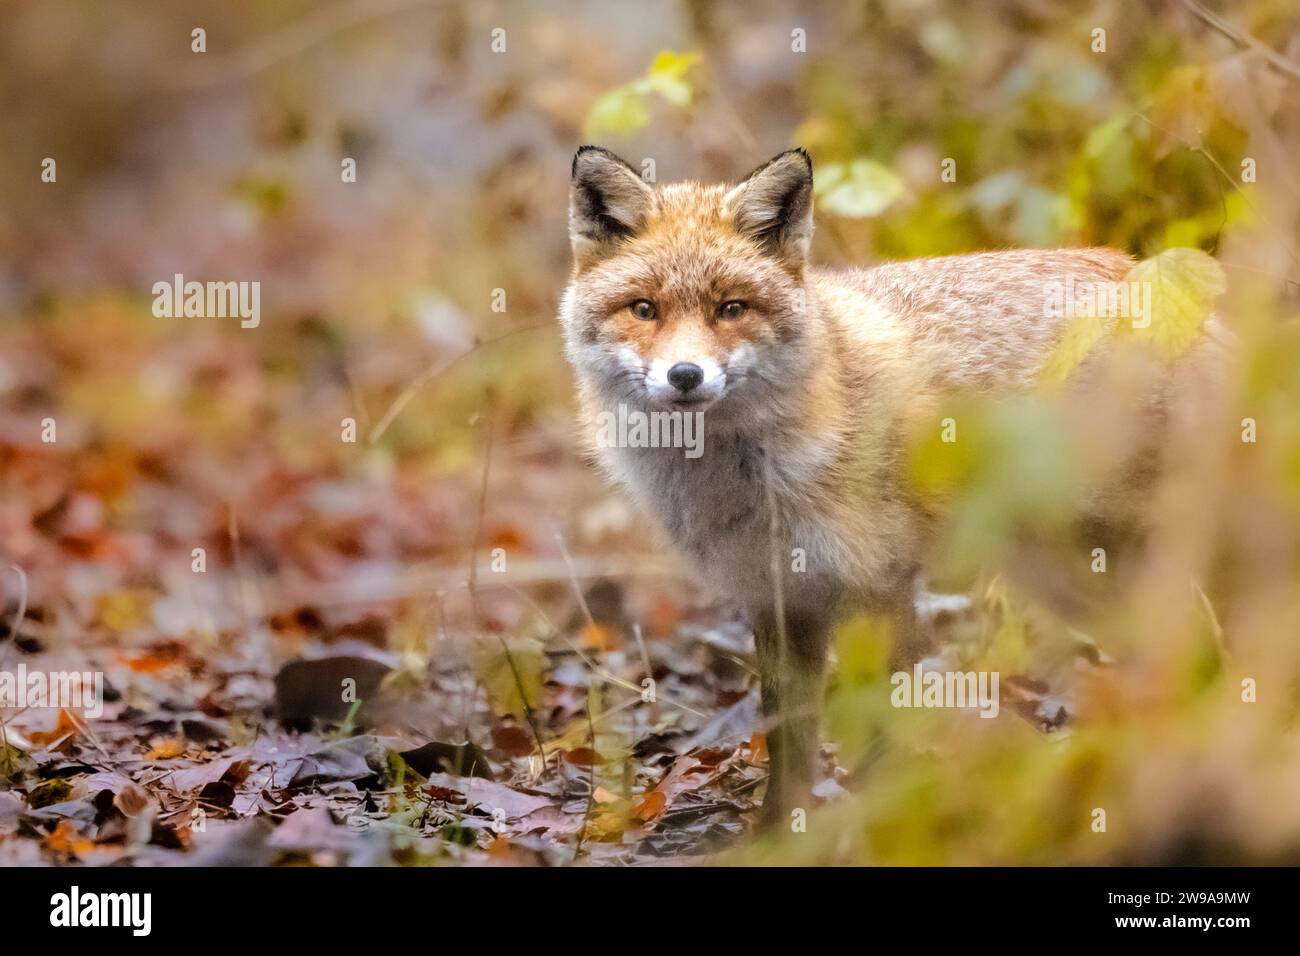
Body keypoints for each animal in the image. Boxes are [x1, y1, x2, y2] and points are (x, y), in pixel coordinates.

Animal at [558, 145, 1218, 826]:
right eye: (644, 309)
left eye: (731, 308)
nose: (685, 375)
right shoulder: (778, 594)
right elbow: (789, 738)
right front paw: (777, 831)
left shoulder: (882, 584)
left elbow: (880, 726)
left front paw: (870, 823)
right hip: (1066, 574)